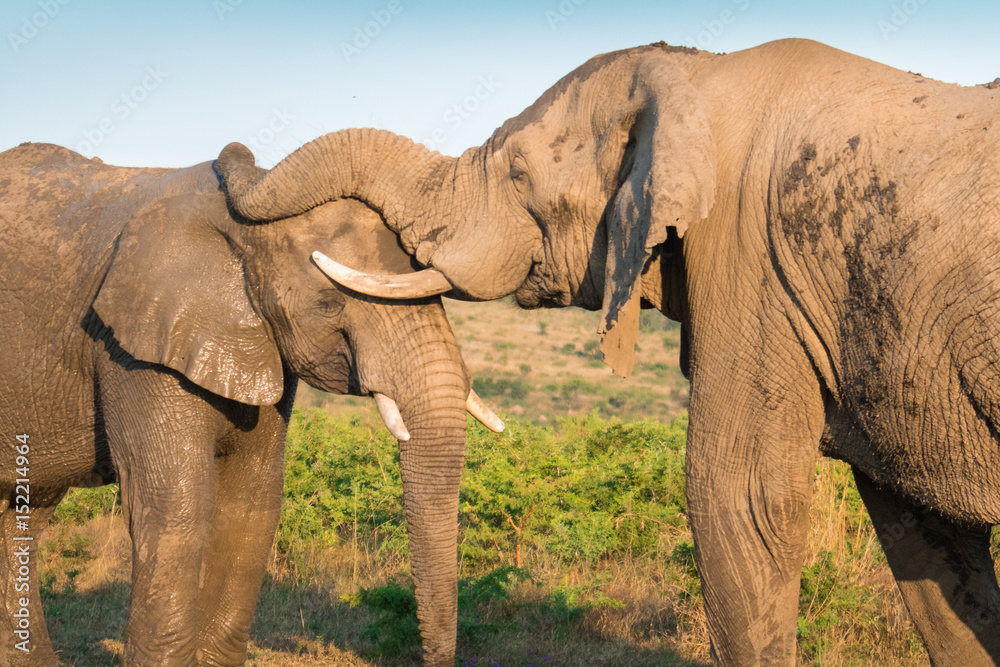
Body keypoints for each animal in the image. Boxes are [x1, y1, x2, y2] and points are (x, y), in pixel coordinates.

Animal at [0, 141, 502, 666]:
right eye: (328, 304)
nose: (232, 151)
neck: (234, 228)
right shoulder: (132, 345)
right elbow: (175, 506)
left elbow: (254, 502)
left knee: (27, 513)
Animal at [215, 38, 1000, 664]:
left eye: (519, 174)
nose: (229, 156)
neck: (697, 74)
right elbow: (926, 536)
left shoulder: (749, 262)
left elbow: (740, 498)